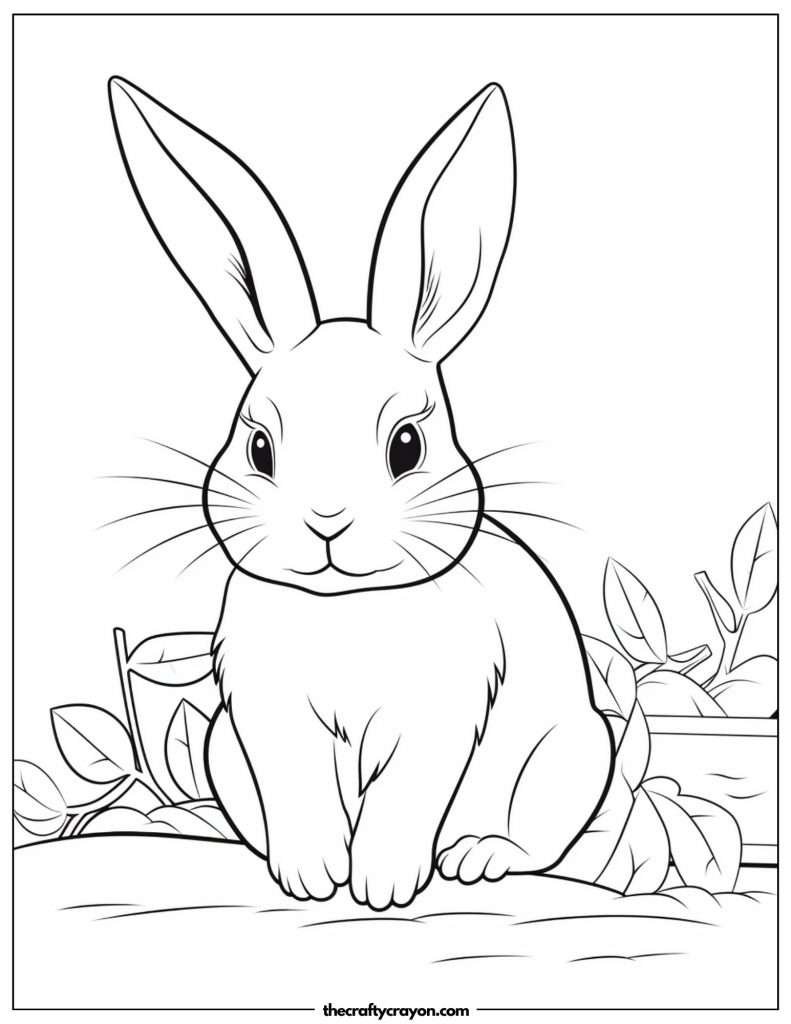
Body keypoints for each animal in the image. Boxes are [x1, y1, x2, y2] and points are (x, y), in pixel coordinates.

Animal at [109, 76, 614, 910]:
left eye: (406, 446)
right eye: (259, 447)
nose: (326, 521)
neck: (343, 609)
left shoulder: (438, 714)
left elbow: (406, 795)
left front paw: (381, 888)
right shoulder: (264, 716)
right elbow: (298, 790)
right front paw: (314, 879)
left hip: (572, 752)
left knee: (532, 840)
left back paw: (476, 856)